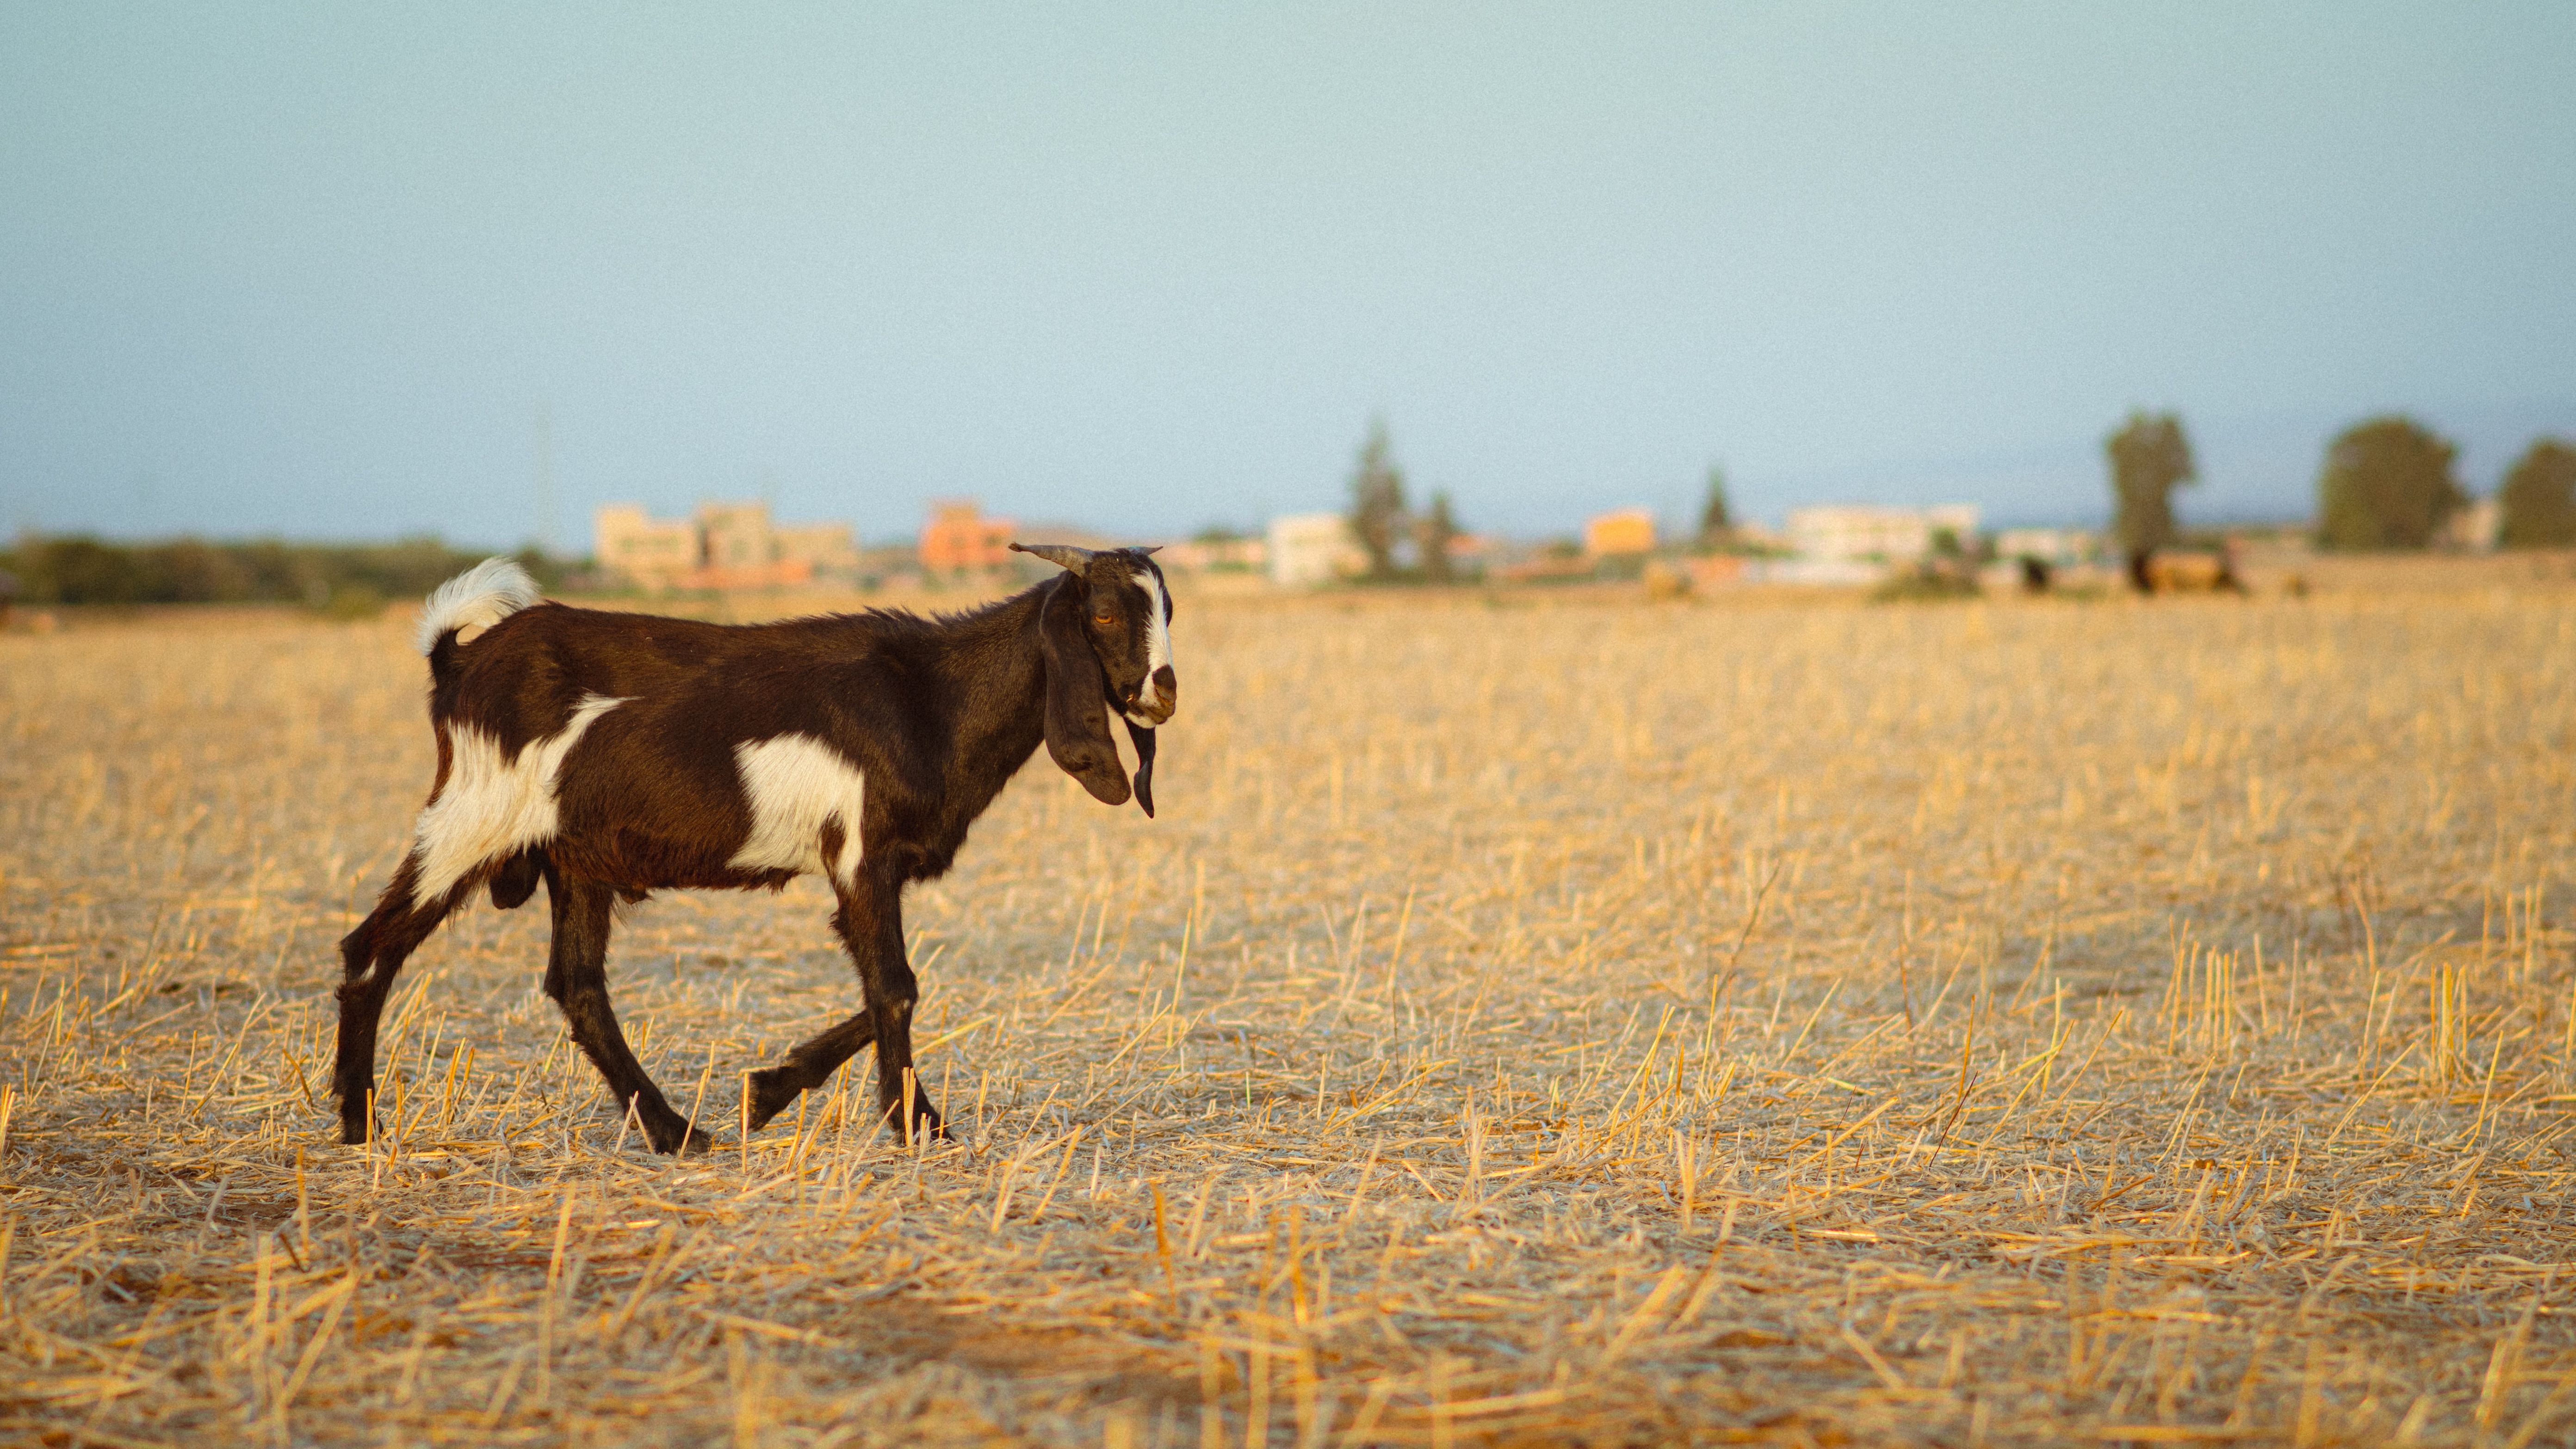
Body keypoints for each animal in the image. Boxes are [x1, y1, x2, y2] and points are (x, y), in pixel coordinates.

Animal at [330, 543, 1176, 1153]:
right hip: (473, 818)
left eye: (1167, 610)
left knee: (578, 989)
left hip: (575, 859)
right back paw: (358, 1122)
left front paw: (767, 1092)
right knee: (372, 948)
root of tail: (459, 662)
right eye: (1103, 617)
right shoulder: (862, 856)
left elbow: (886, 988)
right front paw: (915, 1126)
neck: (932, 694)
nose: (1161, 691)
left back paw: (678, 1134)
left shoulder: (868, 870)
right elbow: (897, 986)